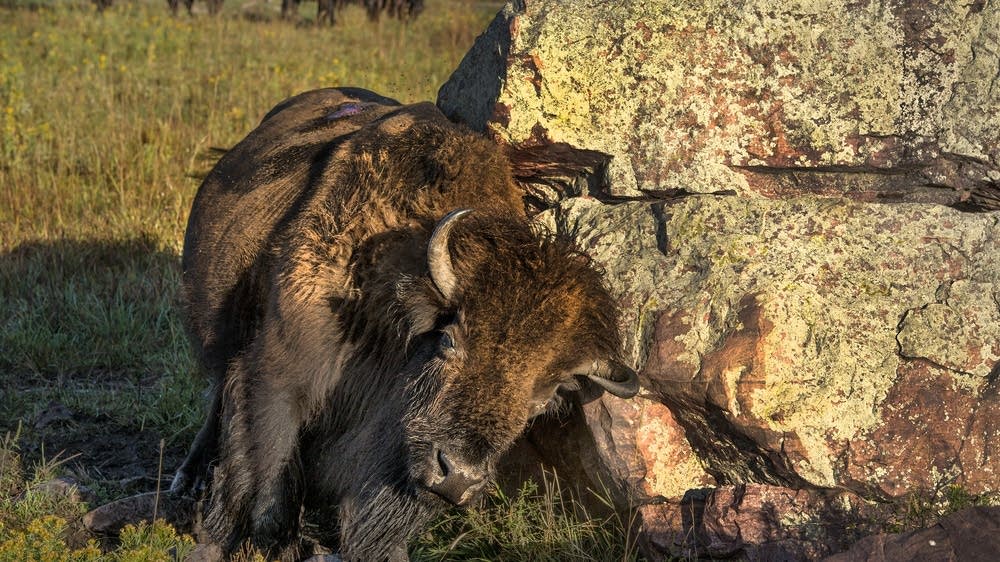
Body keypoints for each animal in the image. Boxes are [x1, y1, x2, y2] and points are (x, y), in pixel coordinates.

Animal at [171, 87, 638, 561]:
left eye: (545, 396)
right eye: (449, 340)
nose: (458, 476)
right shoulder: (278, 376)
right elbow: (266, 482)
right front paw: (237, 539)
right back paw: (186, 486)